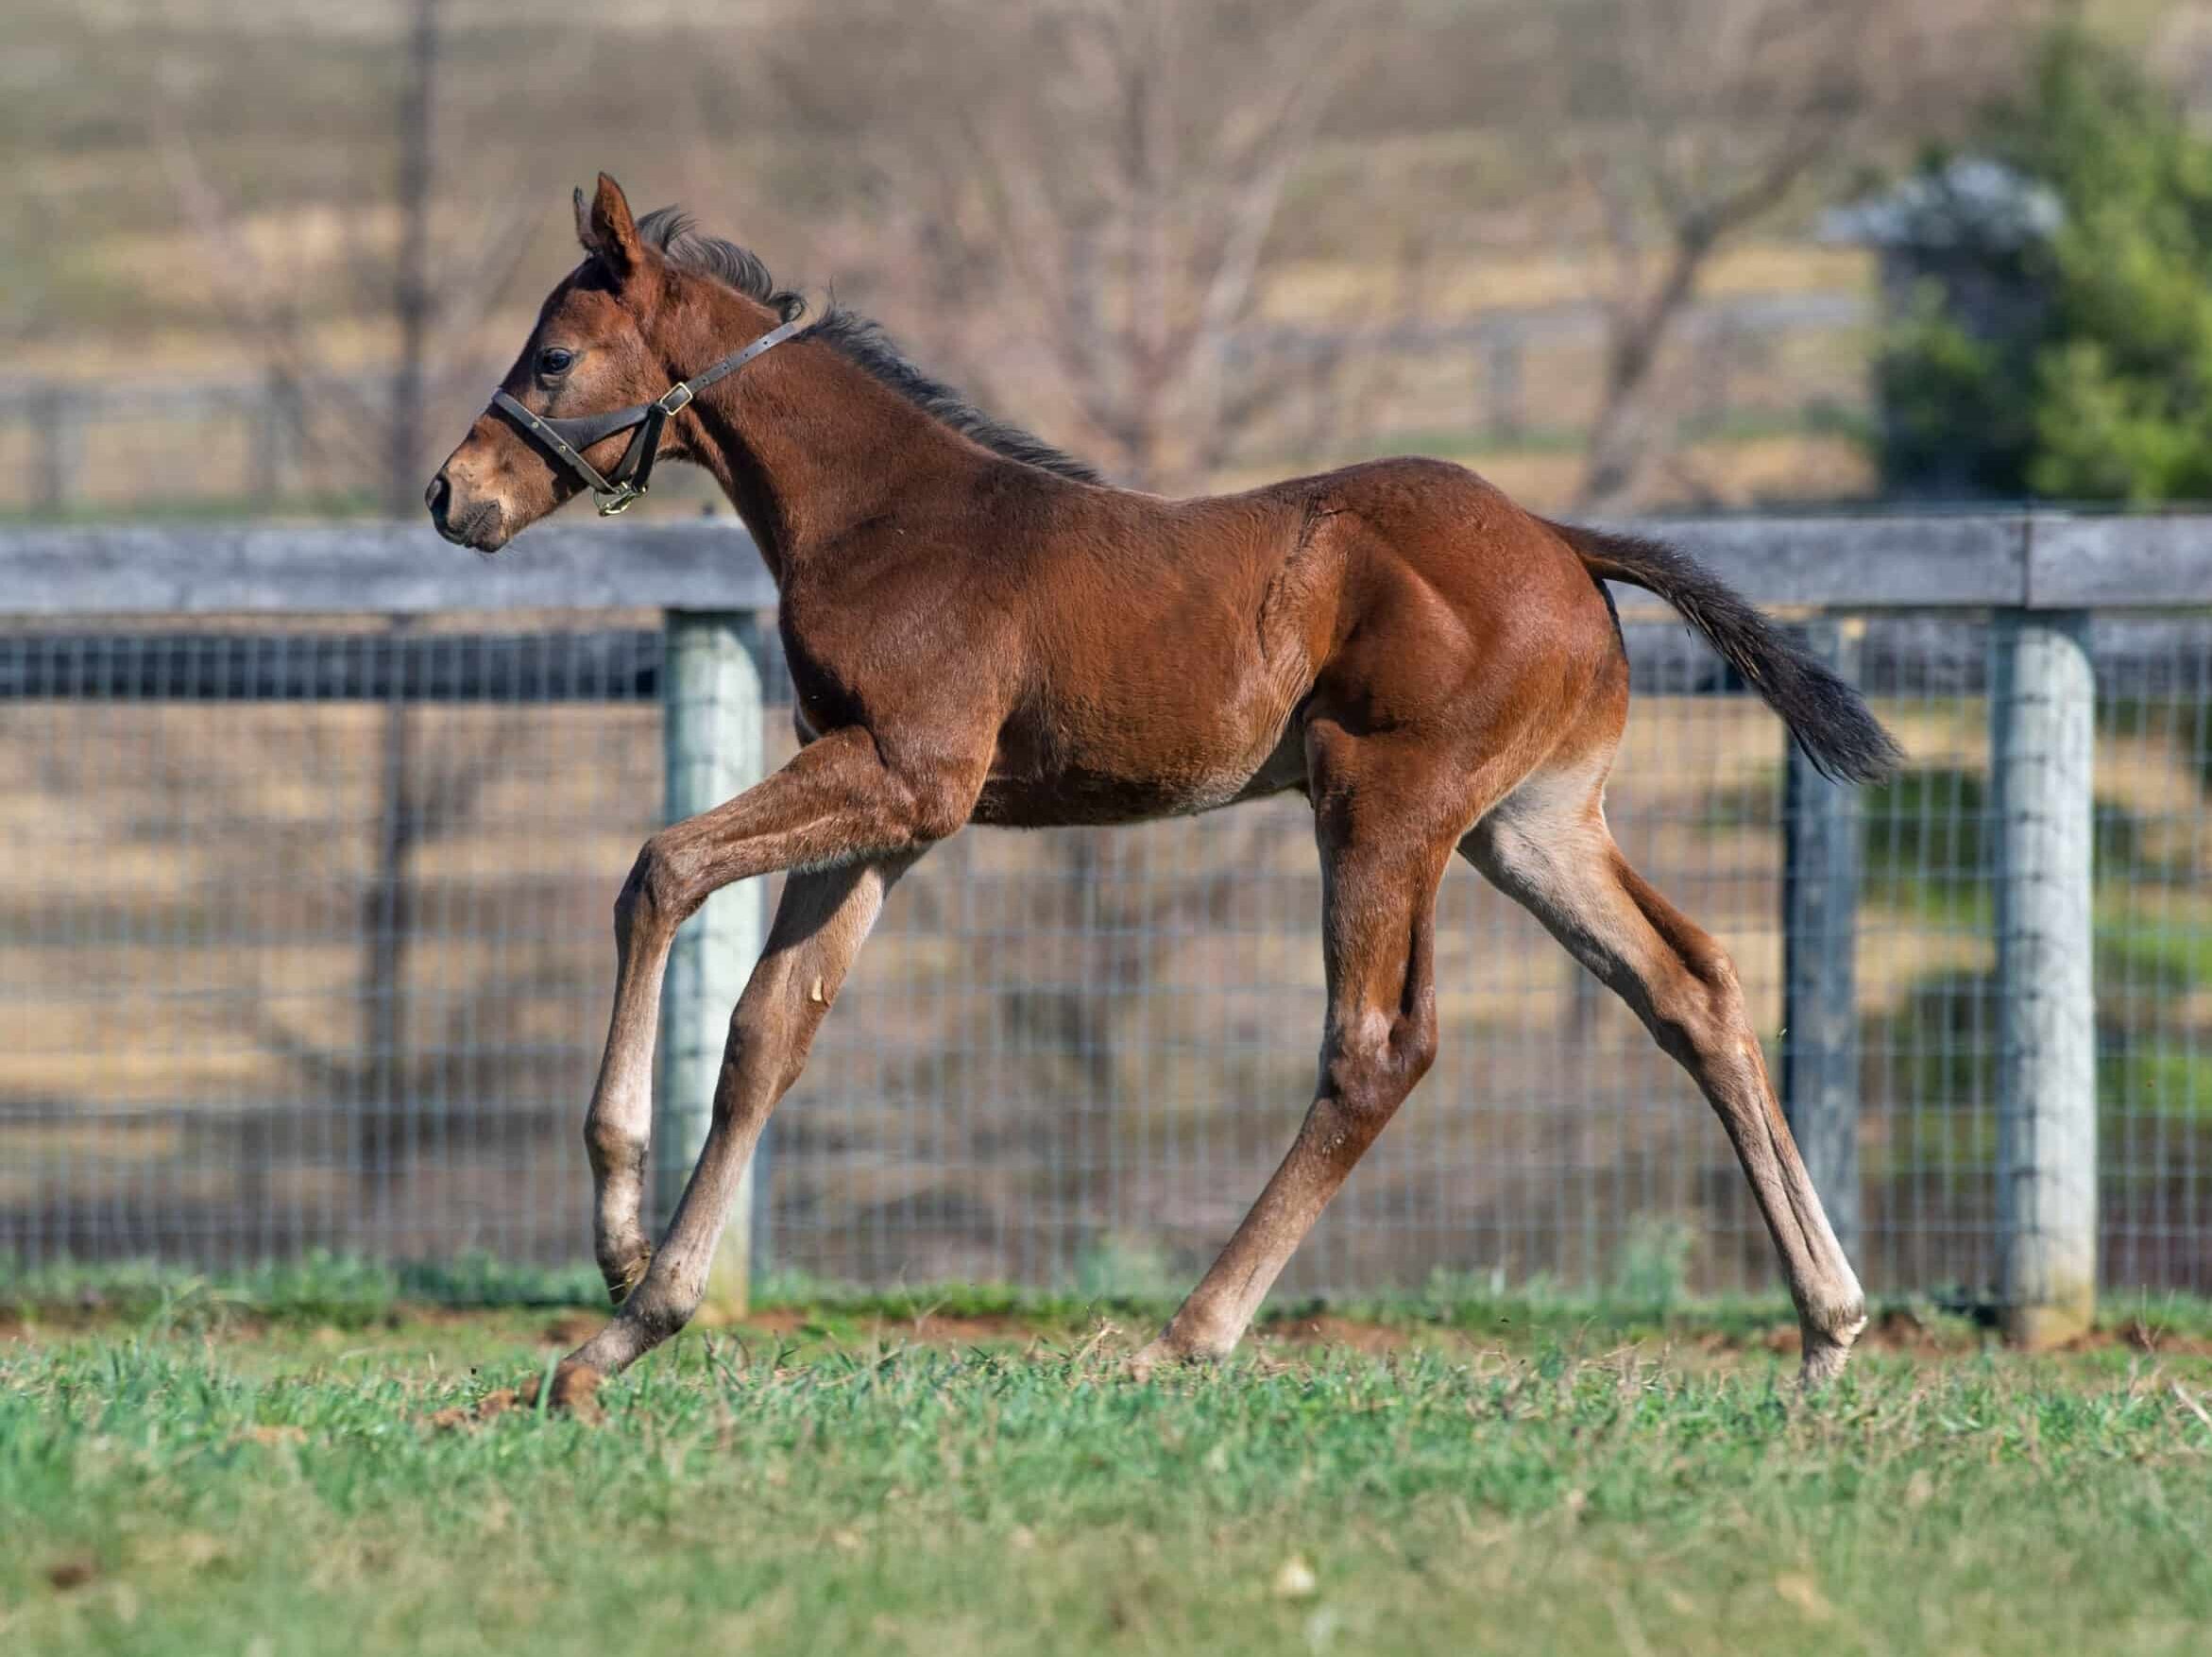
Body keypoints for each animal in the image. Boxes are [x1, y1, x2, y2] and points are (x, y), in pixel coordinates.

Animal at [429, 175, 1901, 1412]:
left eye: (551, 357)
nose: (453, 494)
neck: (882, 514)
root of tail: (1559, 539)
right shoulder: (882, 819)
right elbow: (765, 1036)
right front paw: (628, 1327)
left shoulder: (906, 776)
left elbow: (660, 869)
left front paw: (618, 1240)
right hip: (1526, 827)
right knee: (1691, 986)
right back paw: (1826, 1326)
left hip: (1383, 804)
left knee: (1378, 1047)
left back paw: (1187, 1333)